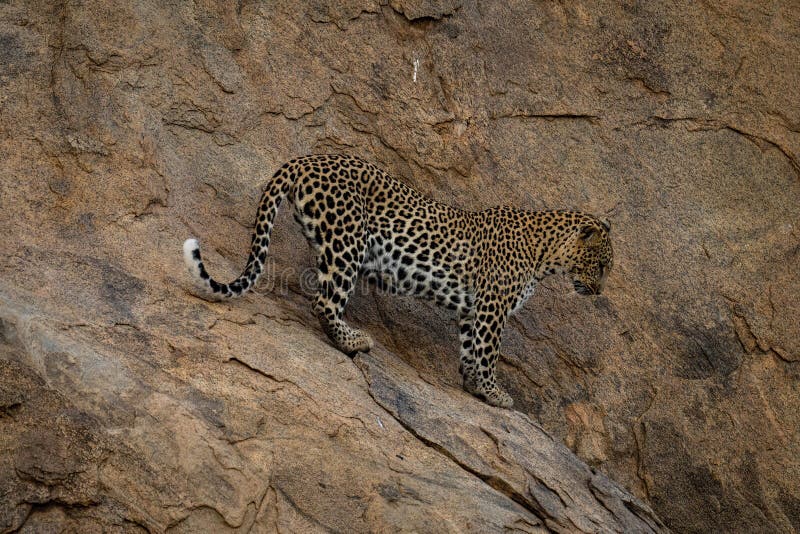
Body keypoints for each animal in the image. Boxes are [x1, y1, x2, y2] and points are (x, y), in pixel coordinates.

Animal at [183, 154, 613, 408]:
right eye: (602, 264)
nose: (599, 291)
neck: (545, 253)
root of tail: (307, 158)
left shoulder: (474, 310)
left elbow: (470, 349)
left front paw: (475, 387)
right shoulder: (493, 307)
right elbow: (488, 351)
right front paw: (495, 393)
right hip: (348, 240)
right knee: (325, 300)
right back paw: (354, 340)